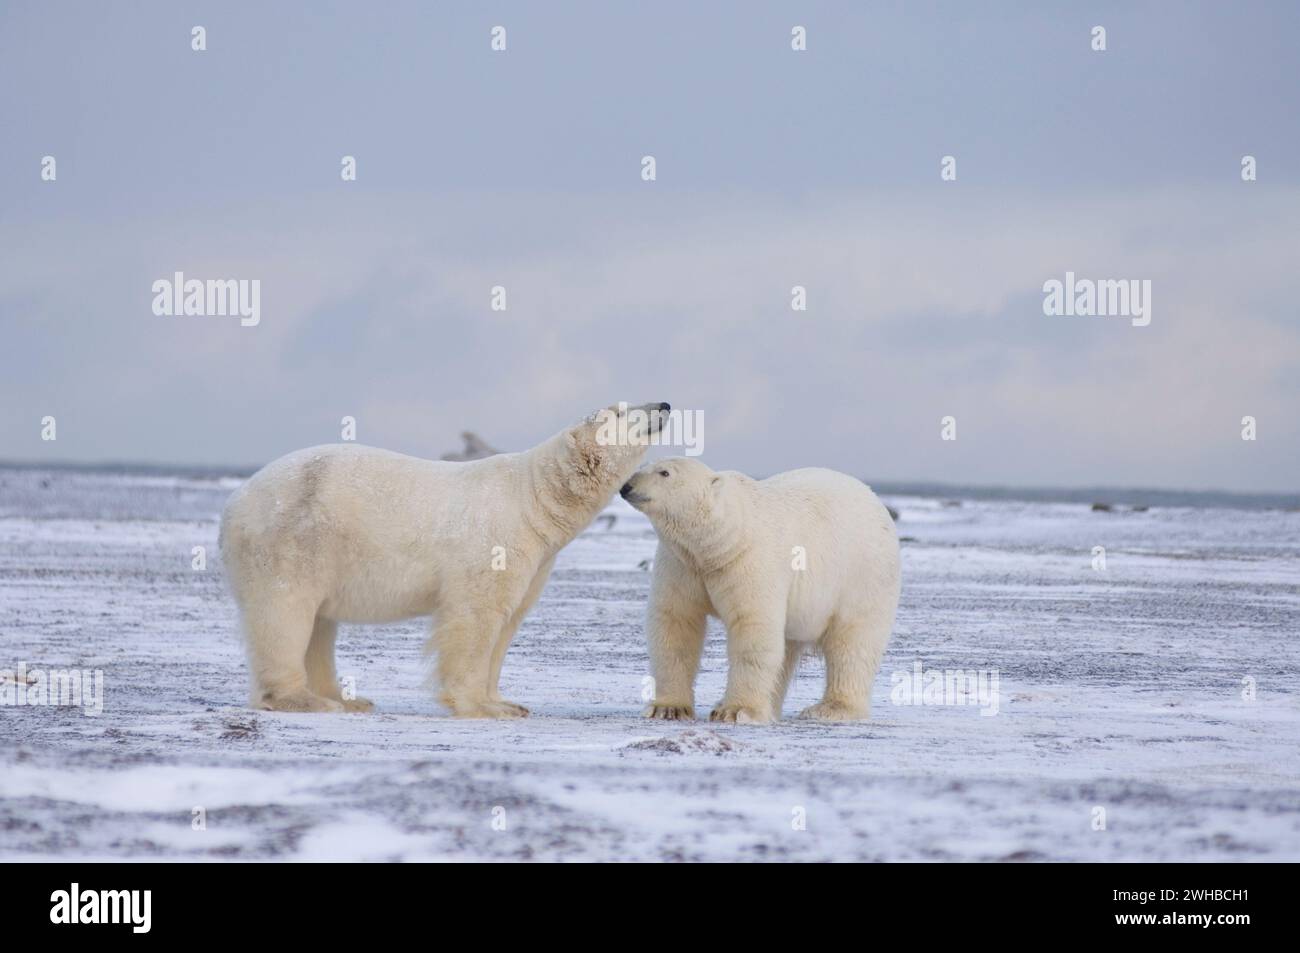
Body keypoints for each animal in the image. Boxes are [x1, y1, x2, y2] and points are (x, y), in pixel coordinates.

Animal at [219, 401, 669, 718]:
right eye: (619, 411)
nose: (664, 405)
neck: (532, 497)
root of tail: (236, 501)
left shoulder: (536, 560)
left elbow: (507, 622)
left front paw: (507, 703)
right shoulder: (493, 543)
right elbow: (475, 618)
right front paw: (479, 707)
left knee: (318, 623)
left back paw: (348, 699)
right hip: (290, 537)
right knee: (285, 612)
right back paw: (304, 700)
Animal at [620, 457, 900, 723]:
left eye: (665, 472)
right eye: (645, 465)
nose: (626, 486)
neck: (719, 545)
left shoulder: (749, 561)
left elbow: (752, 628)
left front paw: (736, 711)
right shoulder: (682, 565)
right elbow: (676, 623)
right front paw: (668, 708)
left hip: (862, 577)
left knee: (853, 644)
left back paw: (830, 708)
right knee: (787, 648)